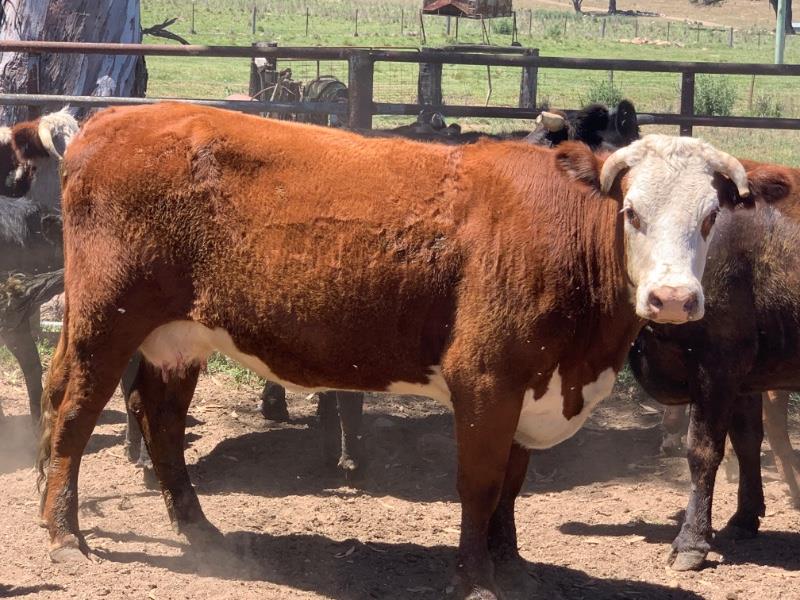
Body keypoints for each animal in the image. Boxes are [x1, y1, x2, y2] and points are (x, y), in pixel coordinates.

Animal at [36, 102, 748, 599]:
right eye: (631, 212)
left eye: (710, 216)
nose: (673, 298)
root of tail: (114, 119)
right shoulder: (486, 380)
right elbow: (481, 483)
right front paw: (475, 577)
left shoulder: (529, 387)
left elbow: (514, 484)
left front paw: (513, 566)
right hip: (104, 320)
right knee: (74, 409)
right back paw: (64, 534)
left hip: (177, 337)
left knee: (159, 417)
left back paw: (197, 529)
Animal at [629, 160, 800, 571]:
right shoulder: (745, 377)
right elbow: (747, 440)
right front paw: (744, 517)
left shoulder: (718, 363)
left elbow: (704, 450)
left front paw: (692, 541)